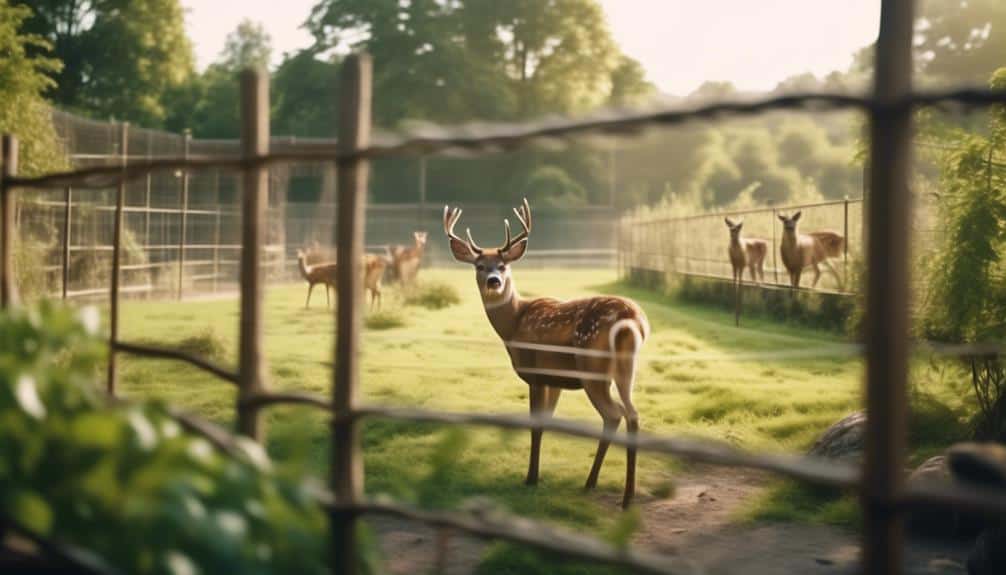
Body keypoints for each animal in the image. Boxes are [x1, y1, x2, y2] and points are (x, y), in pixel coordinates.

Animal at [444, 199, 649, 509]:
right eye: (479, 266)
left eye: (503, 266)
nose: (493, 281)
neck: (514, 324)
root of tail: (632, 319)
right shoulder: (555, 381)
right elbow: (549, 421)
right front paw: (536, 474)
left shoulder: (536, 374)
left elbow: (537, 426)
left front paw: (530, 478)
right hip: (626, 369)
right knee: (633, 414)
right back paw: (621, 493)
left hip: (593, 368)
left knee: (614, 414)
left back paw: (603, 488)